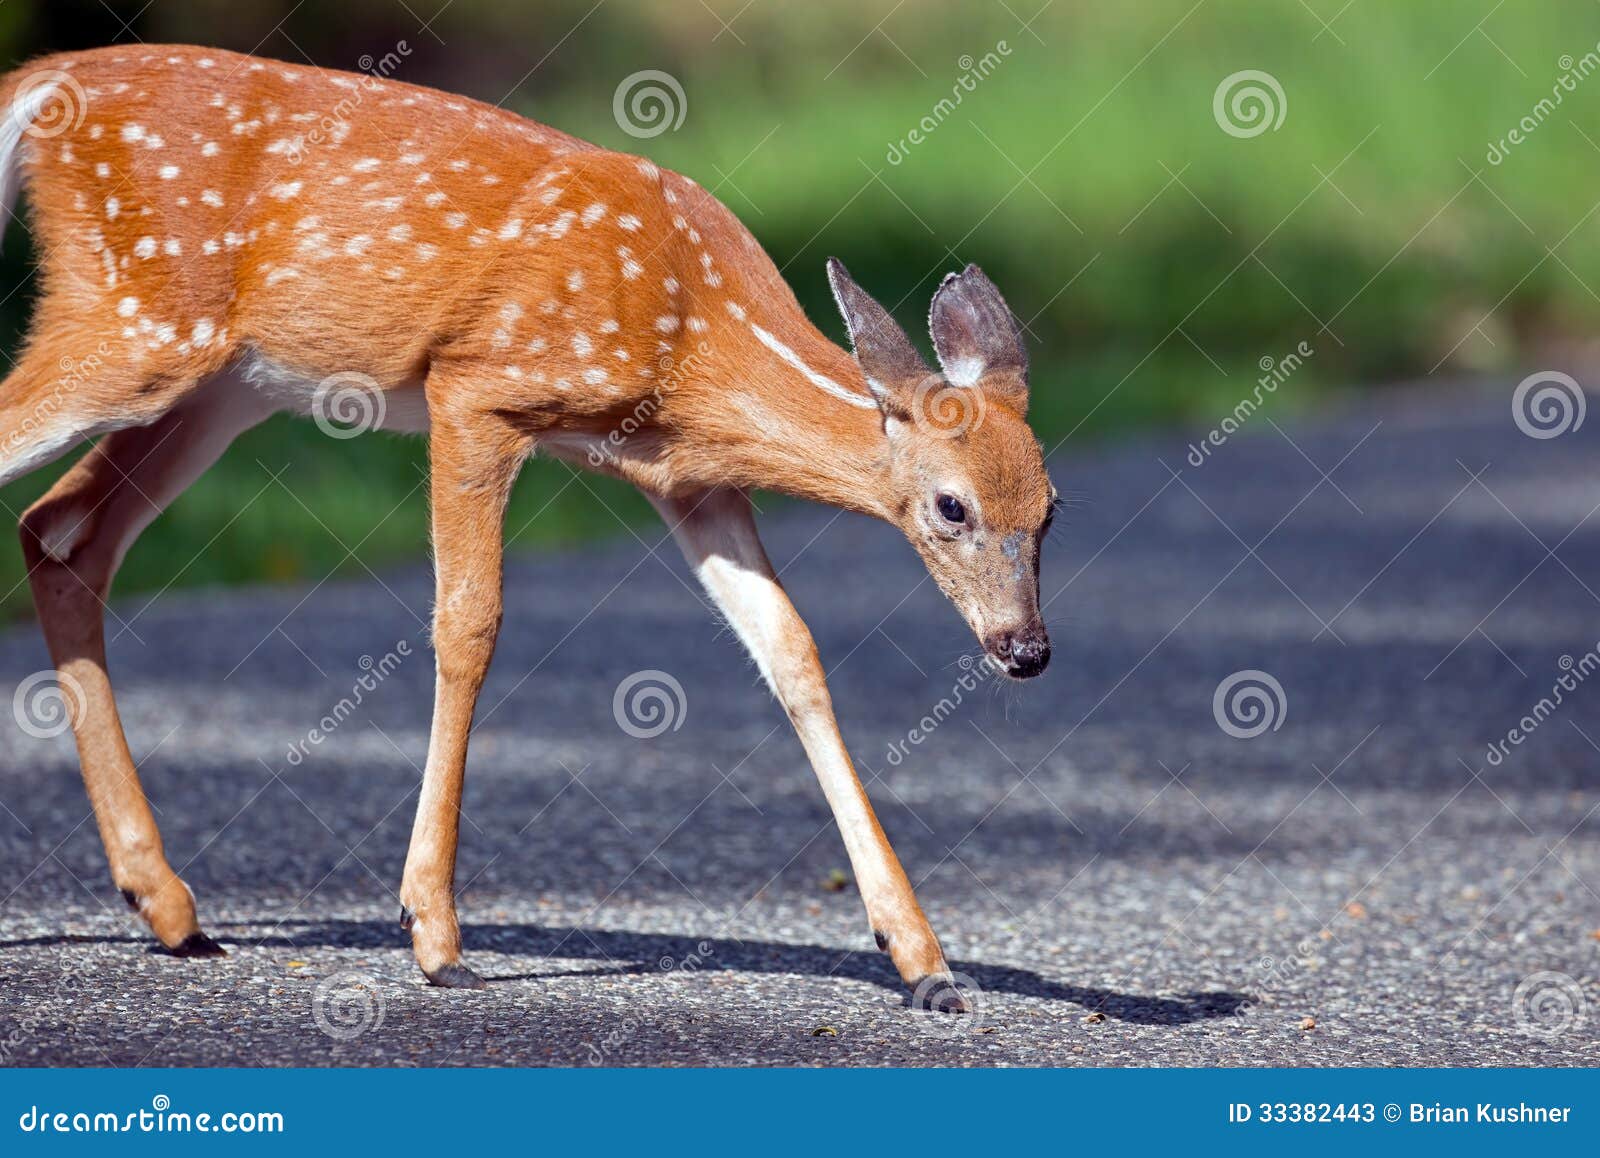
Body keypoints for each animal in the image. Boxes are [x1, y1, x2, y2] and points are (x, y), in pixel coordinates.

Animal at [0, 46, 1056, 1009]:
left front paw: (923, 962)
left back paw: (170, 908)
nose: (1027, 649)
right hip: (135, 320)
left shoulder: (691, 484)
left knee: (62, 532)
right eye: (951, 505)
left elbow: (793, 652)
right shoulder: (479, 388)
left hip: (220, 383)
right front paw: (433, 933)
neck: (693, 337)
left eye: (1053, 510)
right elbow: (469, 622)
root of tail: (46, 77)